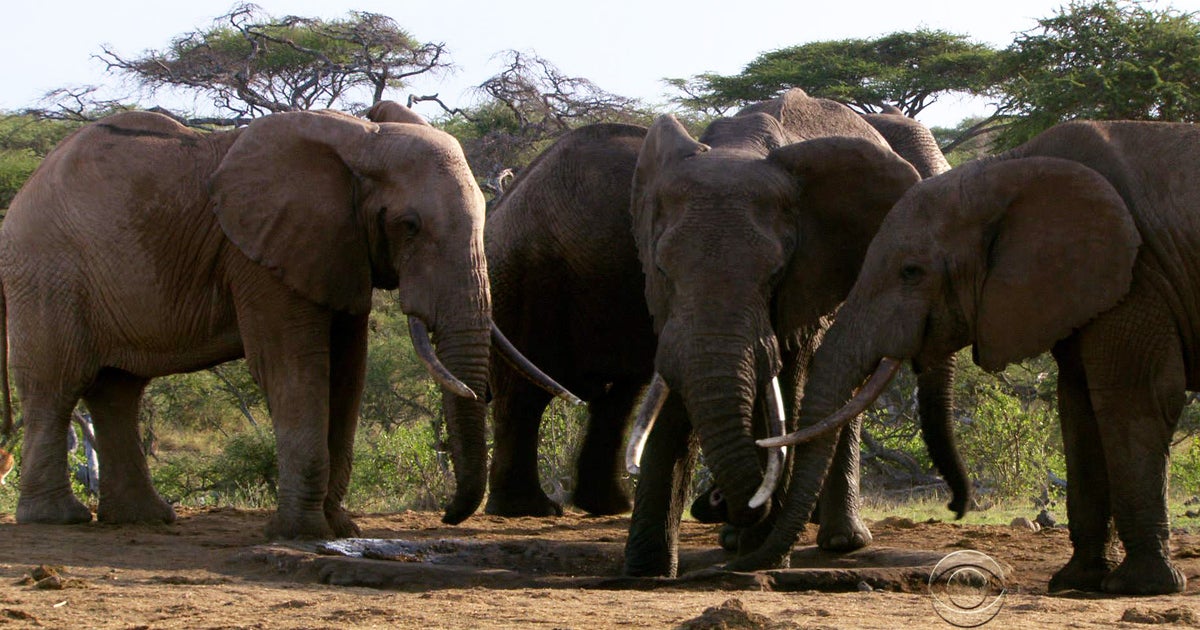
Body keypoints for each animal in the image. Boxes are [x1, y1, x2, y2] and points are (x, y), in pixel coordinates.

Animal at [0, 102, 564, 538]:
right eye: (409, 226)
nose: (448, 517)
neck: (358, 141)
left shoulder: (338, 249)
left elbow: (347, 373)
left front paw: (341, 529)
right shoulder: (260, 257)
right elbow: (292, 366)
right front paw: (300, 533)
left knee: (118, 390)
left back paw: (144, 519)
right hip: (45, 273)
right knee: (56, 385)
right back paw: (59, 520)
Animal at [623, 88, 957, 577]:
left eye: (775, 275)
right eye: (663, 270)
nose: (715, 501)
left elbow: (786, 382)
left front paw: (759, 550)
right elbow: (673, 387)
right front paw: (645, 571)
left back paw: (839, 540)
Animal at [755, 119, 1200, 595]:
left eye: (911, 272)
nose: (957, 505)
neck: (1005, 170)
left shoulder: (1139, 276)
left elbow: (1134, 399)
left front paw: (1139, 586)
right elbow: (1077, 407)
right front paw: (1077, 581)